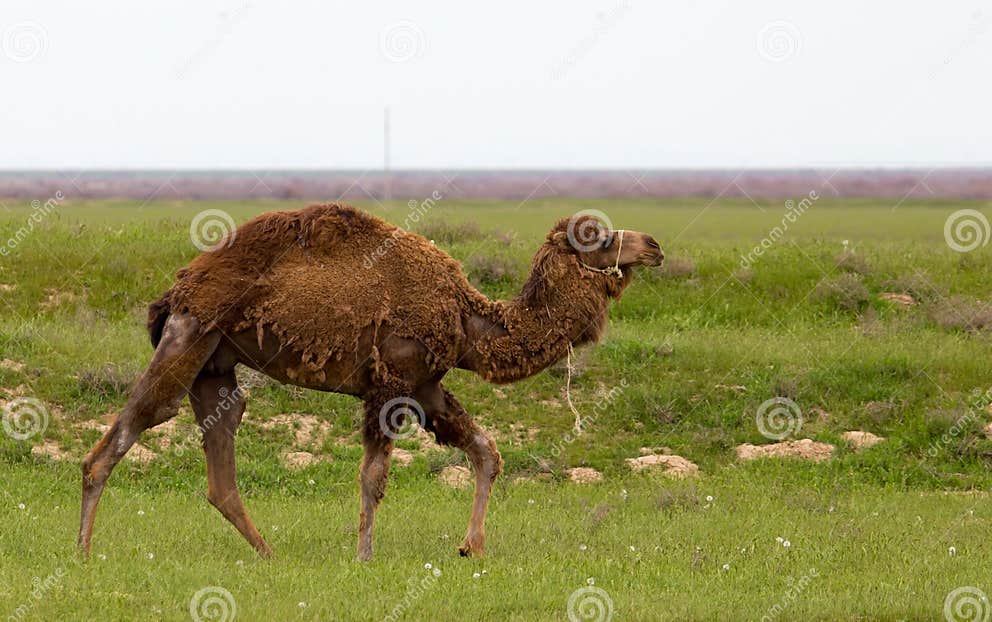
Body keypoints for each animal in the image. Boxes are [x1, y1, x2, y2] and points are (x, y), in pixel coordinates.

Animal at [78, 204, 664, 560]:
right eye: (596, 235)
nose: (654, 244)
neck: (467, 318)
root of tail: (177, 289)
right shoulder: (390, 382)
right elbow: (374, 476)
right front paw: (363, 556)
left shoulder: (425, 385)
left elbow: (485, 450)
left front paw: (471, 546)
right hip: (188, 336)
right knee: (129, 430)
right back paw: (82, 554)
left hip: (215, 368)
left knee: (221, 466)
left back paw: (269, 555)